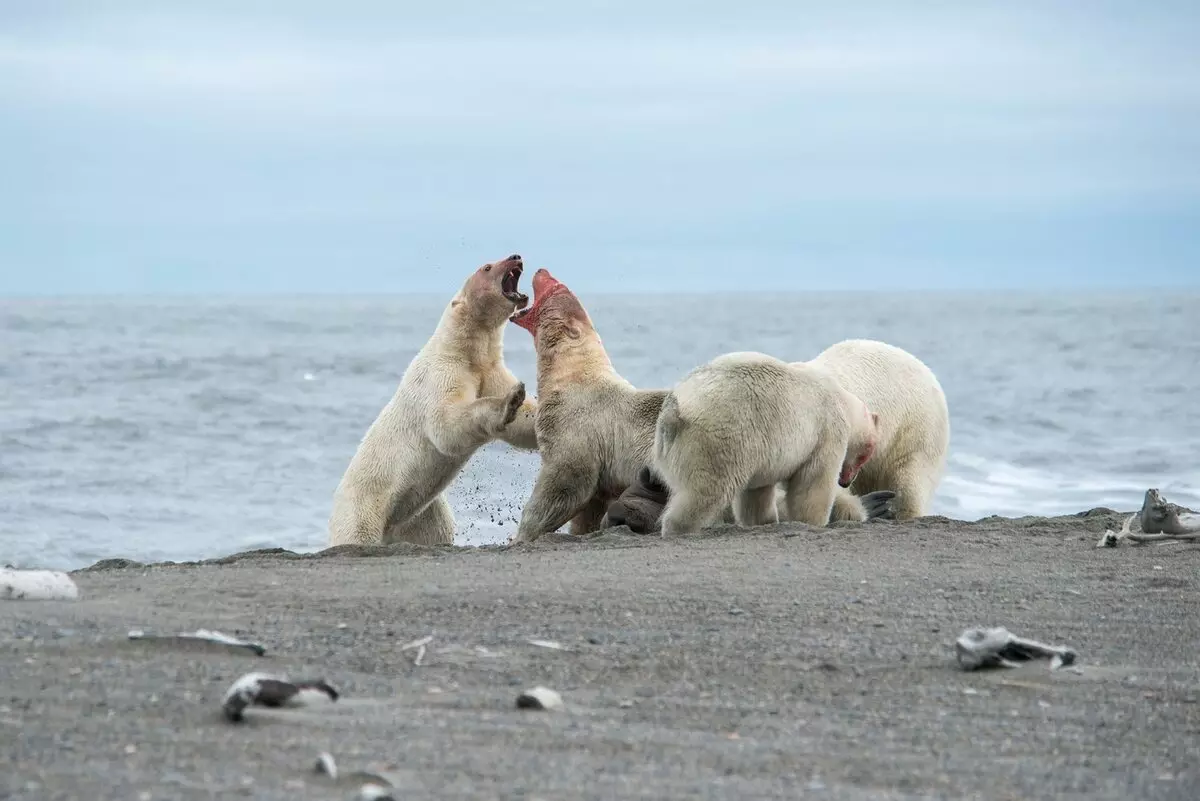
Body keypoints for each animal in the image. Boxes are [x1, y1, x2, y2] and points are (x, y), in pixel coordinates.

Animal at [326, 253, 537, 546]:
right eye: (487, 267)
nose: (516, 256)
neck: (462, 349)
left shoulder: (488, 370)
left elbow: (523, 423)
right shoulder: (442, 373)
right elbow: (445, 424)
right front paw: (509, 402)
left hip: (419, 514)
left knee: (434, 530)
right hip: (363, 506)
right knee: (358, 533)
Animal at [506, 270, 672, 544]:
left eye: (556, 286)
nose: (542, 271)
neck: (574, 374)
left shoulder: (576, 423)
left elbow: (565, 482)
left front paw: (521, 535)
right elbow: (590, 506)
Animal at [652, 352, 878, 534]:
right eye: (865, 455)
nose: (846, 482)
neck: (842, 401)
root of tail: (674, 414)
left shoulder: (764, 448)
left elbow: (756, 494)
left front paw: (763, 521)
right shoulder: (826, 431)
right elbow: (813, 482)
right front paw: (813, 522)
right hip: (716, 441)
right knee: (706, 491)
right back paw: (678, 528)